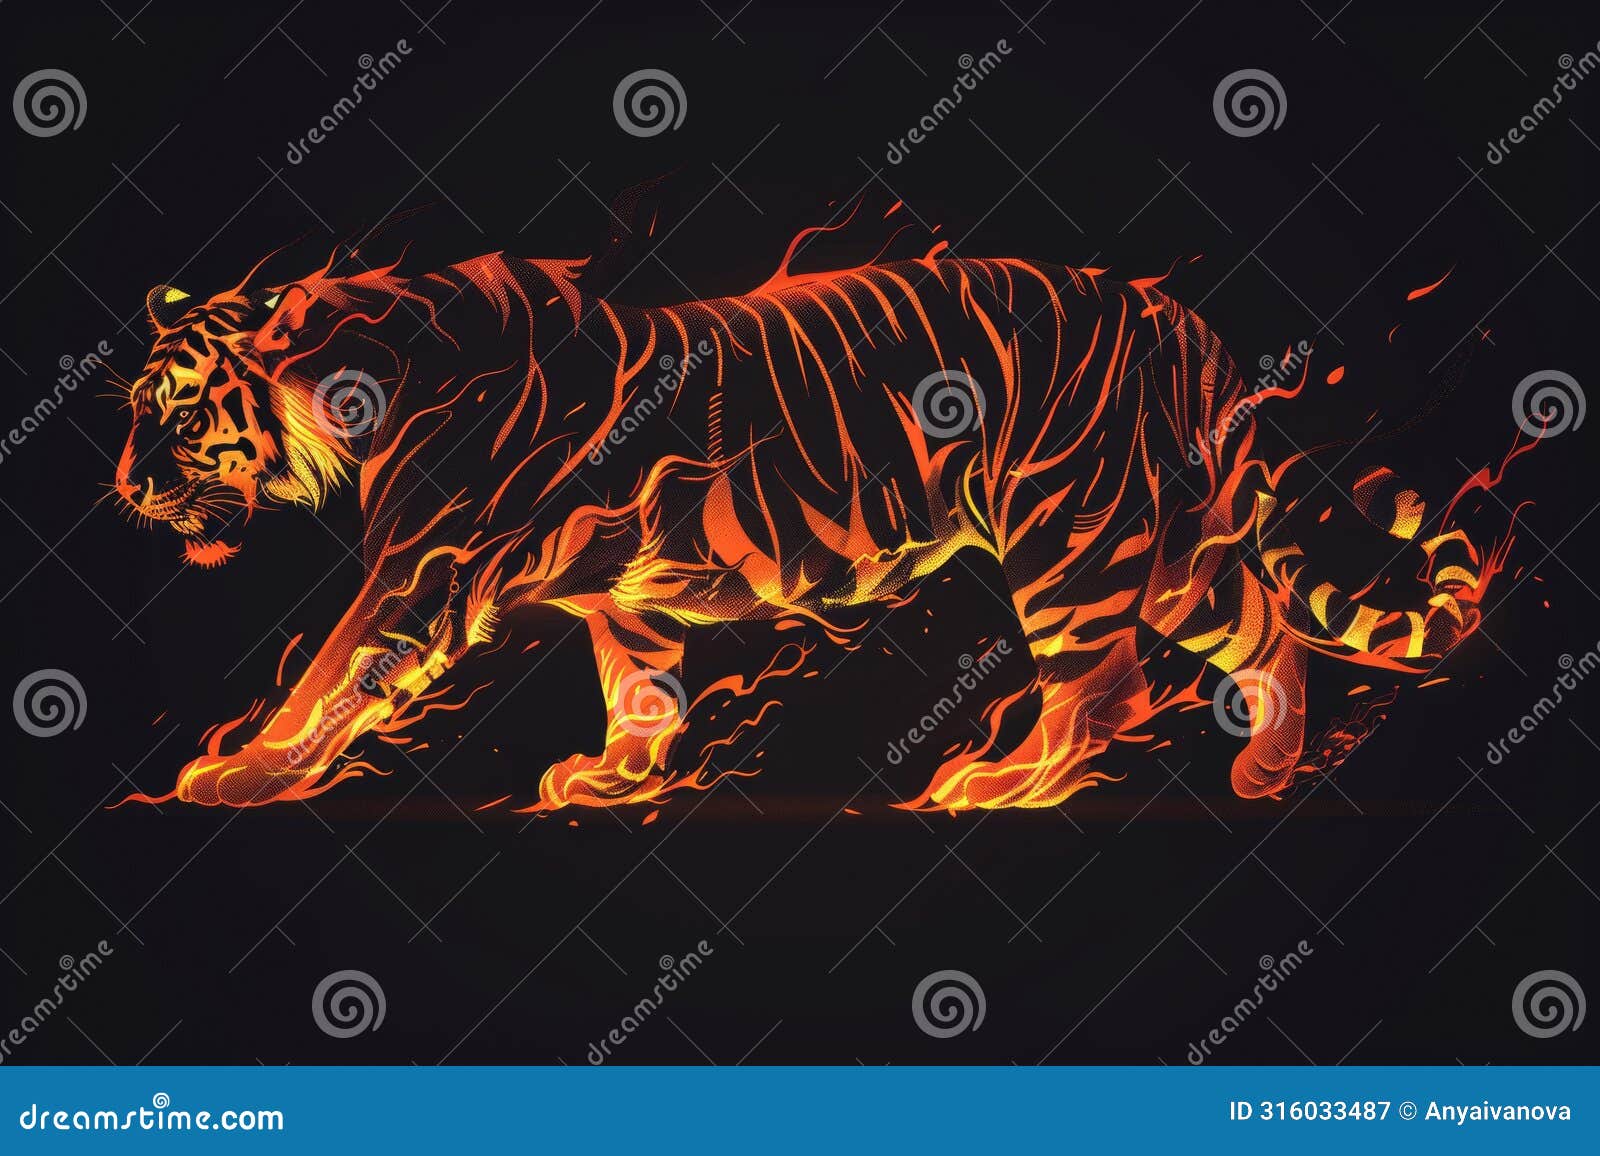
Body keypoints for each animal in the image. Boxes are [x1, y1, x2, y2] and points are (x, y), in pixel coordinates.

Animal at [114, 242, 1506, 812]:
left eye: (171, 409)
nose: (122, 488)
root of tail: (1179, 319)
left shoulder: (420, 568)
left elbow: (330, 671)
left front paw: (239, 774)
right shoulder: (620, 595)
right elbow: (640, 684)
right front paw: (615, 777)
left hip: (1070, 530)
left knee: (1097, 684)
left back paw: (999, 784)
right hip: (1163, 541)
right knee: (1262, 623)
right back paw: (1266, 770)